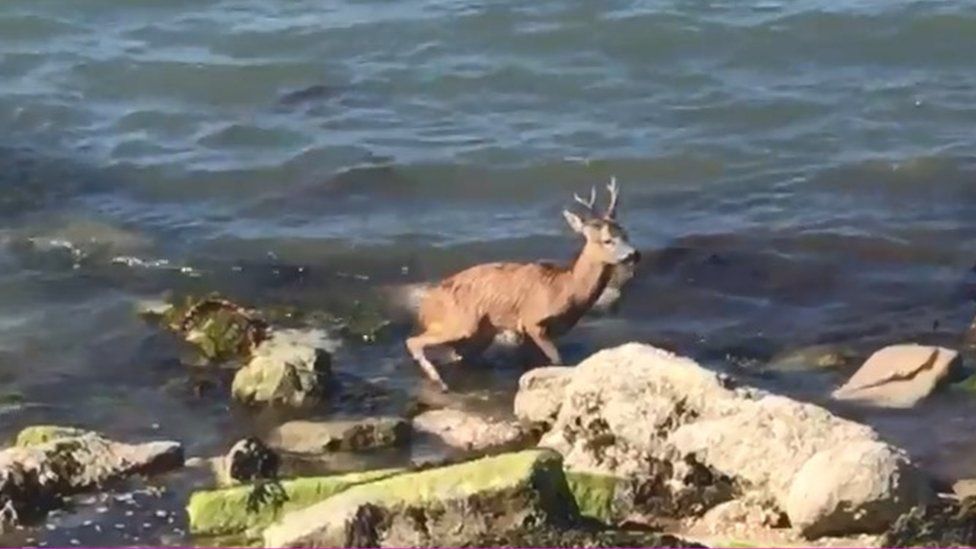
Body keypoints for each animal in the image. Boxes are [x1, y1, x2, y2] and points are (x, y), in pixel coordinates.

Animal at [406, 178, 640, 391]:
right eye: (607, 240)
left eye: (625, 233)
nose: (634, 254)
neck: (566, 289)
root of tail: (425, 308)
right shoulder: (532, 320)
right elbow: (557, 360)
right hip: (461, 321)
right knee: (413, 341)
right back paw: (439, 381)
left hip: (480, 332)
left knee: (459, 355)